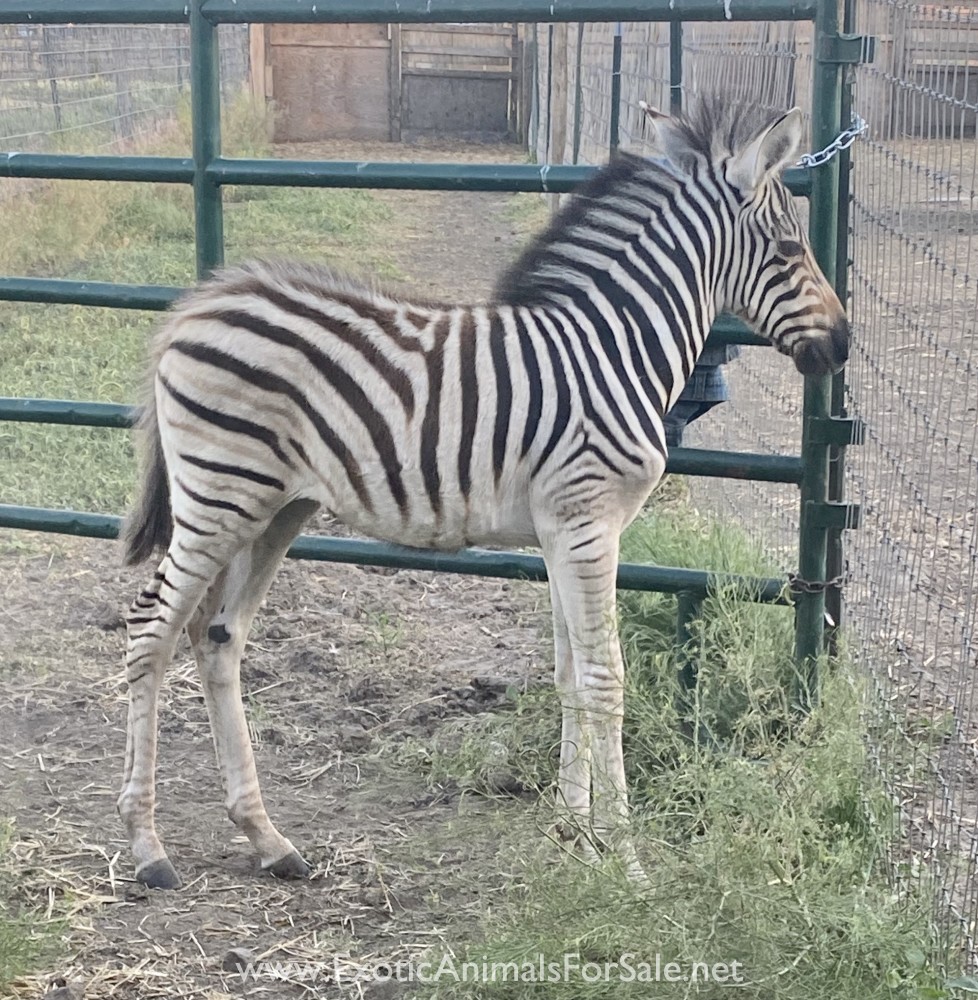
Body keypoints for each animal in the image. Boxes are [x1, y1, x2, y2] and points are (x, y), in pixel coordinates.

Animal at [119, 97, 849, 889]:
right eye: (789, 248)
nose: (842, 345)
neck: (613, 348)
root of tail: (197, 305)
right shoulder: (590, 524)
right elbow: (606, 681)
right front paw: (625, 860)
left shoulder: (565, 533)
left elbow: (569, 675)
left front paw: (573, 832)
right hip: (217, 497)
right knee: (150, 630)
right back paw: (147, 847)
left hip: (273, 507)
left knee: (216, 639)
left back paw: (267, 839)